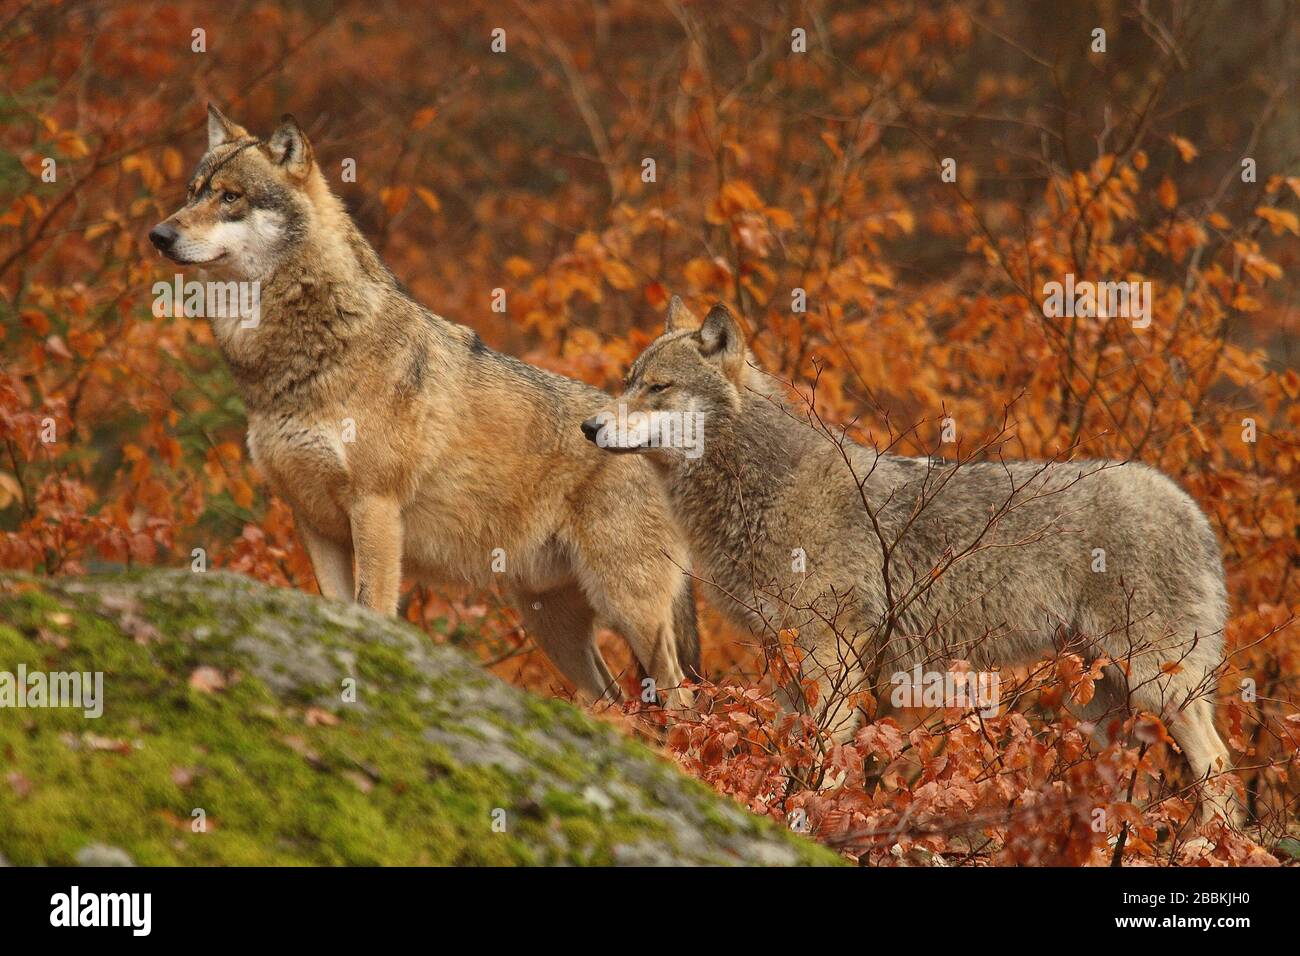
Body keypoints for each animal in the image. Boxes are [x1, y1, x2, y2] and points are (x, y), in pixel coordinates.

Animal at [148, 105, 698, 708]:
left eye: (231, 197)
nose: (159, 234)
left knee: (679, 695)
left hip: (629, 608)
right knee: (613, 699)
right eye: (193, 192)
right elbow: (336, 610)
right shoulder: (312, 519)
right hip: (549, 621)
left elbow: (372, 610)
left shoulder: (375, 508)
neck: (297, 361)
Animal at [583, 297, 1237, 820]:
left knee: (1219, 764)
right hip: (1098, 703)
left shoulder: (833, 654)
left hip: (1154, 681)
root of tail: (1193, 508)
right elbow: (791, 750)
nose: (588, 426)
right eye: (628, 381)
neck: (763, 488)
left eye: (657, 388)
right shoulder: (789, 659)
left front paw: (810, 818)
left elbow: (825, 757)